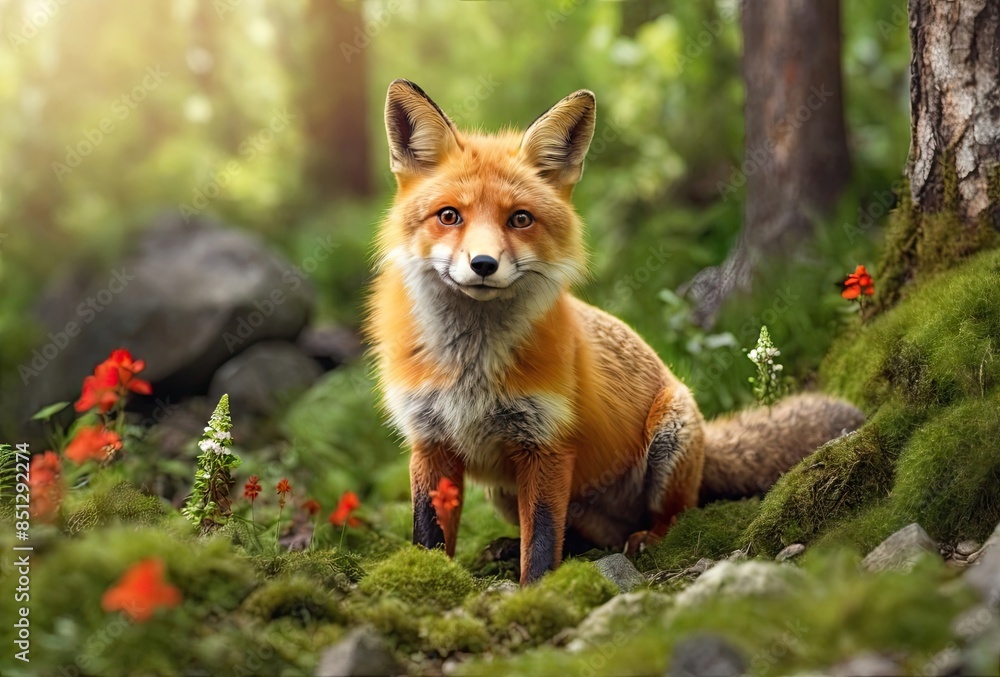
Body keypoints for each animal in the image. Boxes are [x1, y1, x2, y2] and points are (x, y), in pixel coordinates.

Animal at [366, 79, 864, 585]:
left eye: (520, 219)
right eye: (449, 216)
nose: (483, 265)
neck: (470, 366)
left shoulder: (547, 443)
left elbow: (541, 540)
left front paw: (536, 590)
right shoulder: (429, 440)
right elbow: (429, 531)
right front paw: (429, 577)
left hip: (668, 439)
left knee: (673, 514)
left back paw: (649, 538)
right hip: (507, 492)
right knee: (585, 537)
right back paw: (517, 546)